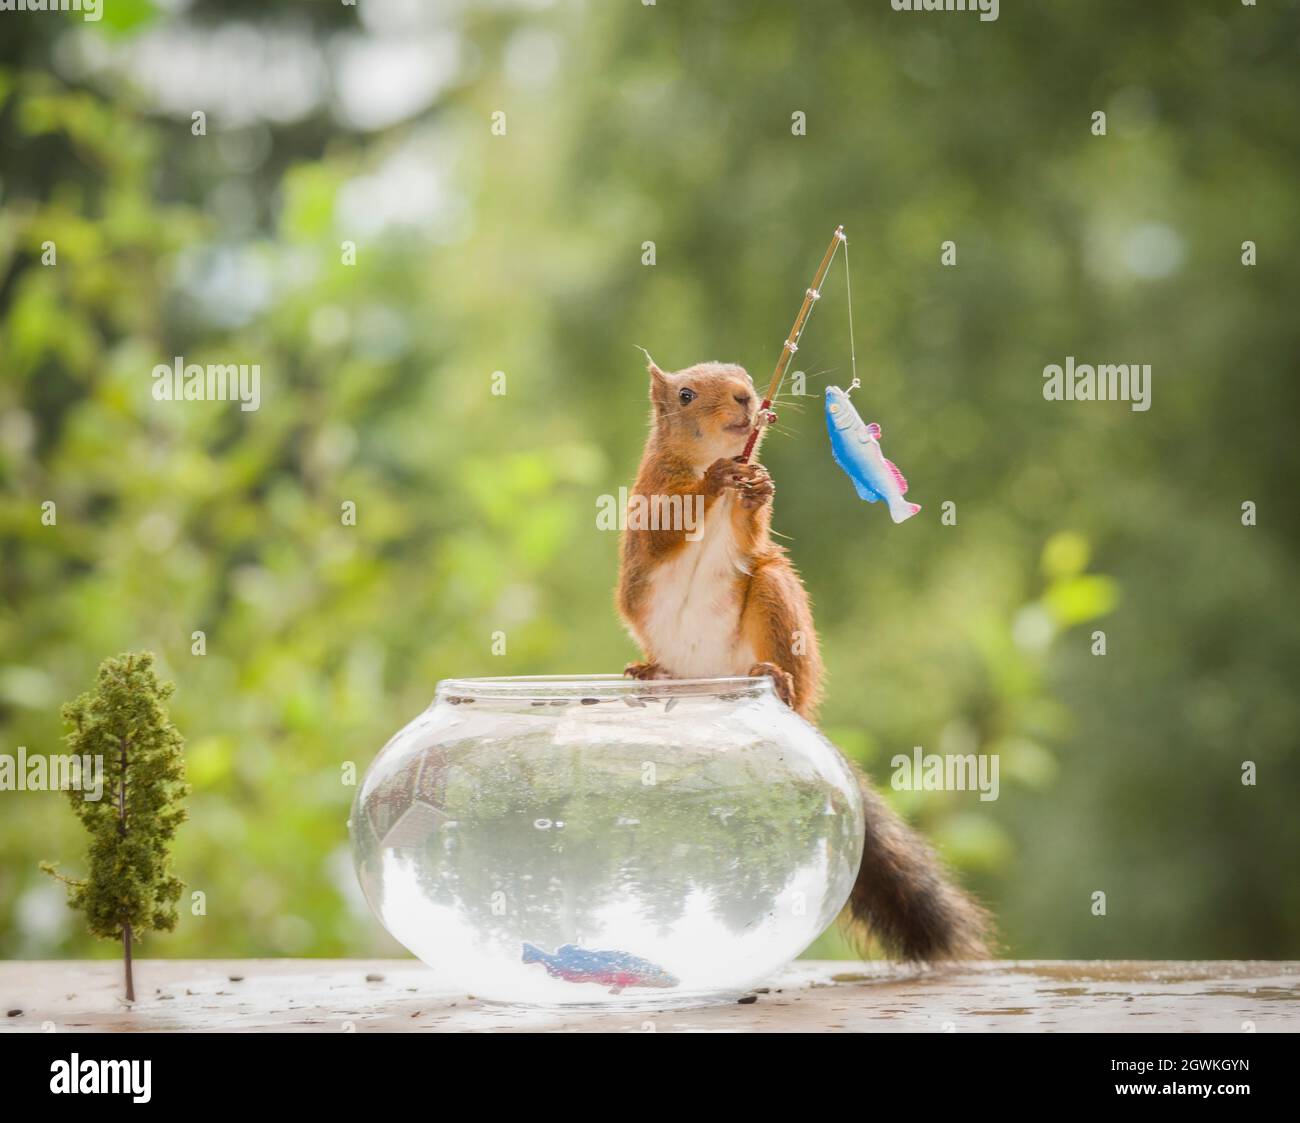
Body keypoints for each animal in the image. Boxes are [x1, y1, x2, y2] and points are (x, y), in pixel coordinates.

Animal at [617, 356, 991, 962]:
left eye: (745, 376)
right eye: (687, 393)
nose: (747, 399)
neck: (710, 455)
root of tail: (708, 678)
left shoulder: (749, 536)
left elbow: (751, 532)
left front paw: (756, 486)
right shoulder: (651, 497)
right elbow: (668, 528)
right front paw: (716, 482)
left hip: (773, 597)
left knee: (773, 609)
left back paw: (777, 679)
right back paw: (651, 671)